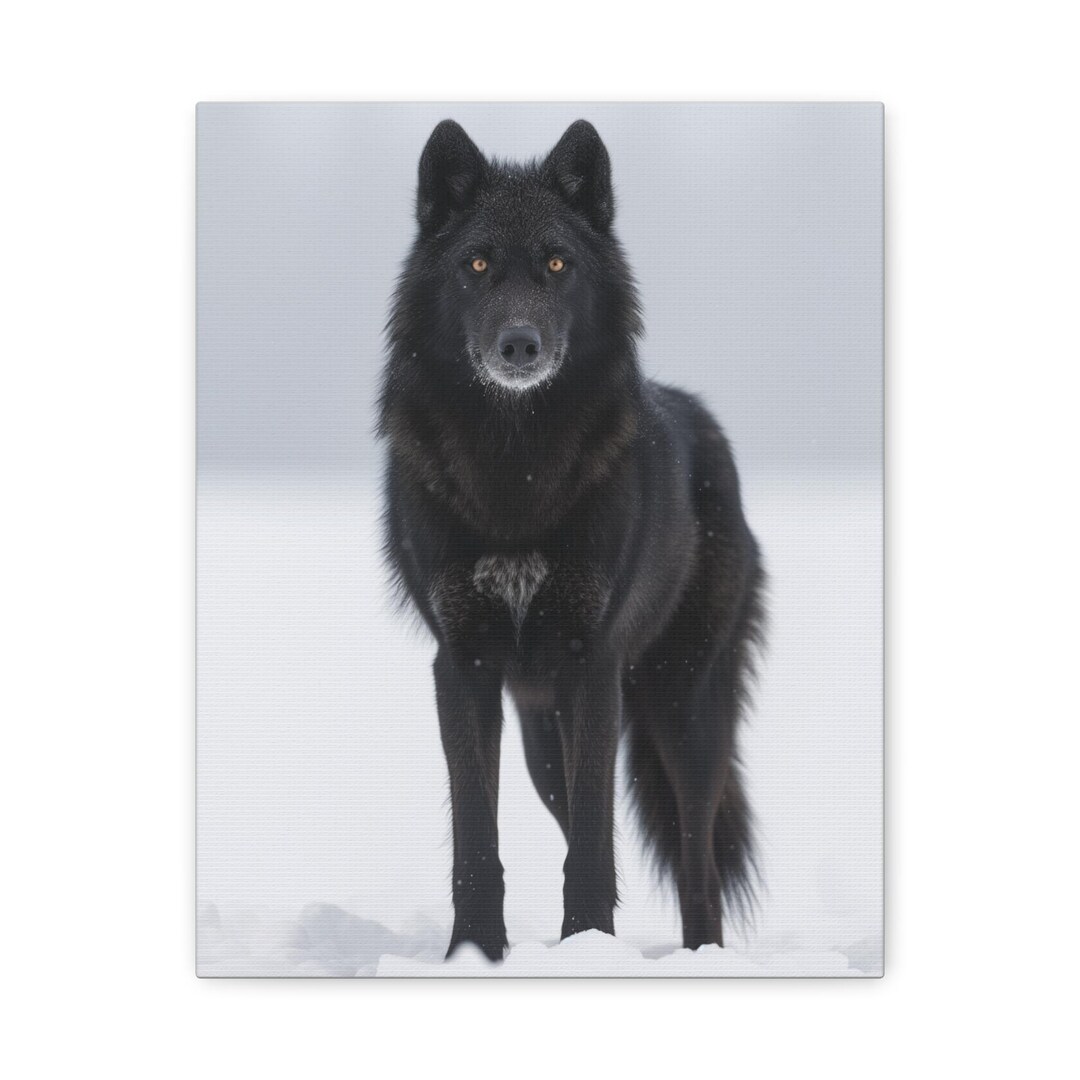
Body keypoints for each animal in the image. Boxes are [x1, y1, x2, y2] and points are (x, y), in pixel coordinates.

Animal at [378, 119, 765, 959]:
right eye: (477, 265)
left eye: (557, 263)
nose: (520, 345)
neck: (515, 468)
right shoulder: (462, 664)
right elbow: (477, 836)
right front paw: (475, 955)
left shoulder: (595, 661)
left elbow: (592, 845)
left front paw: (587, 939)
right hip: (541, 738)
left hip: (684, 712)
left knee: (695, 857)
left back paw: (700, 956)